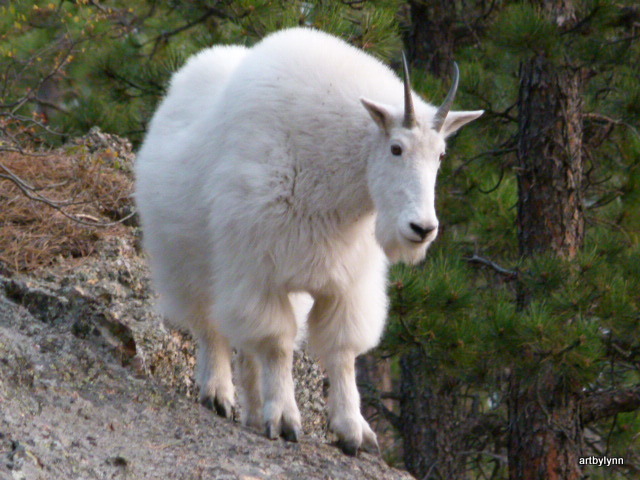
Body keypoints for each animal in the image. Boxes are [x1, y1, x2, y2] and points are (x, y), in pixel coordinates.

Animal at [135, 27, 483, 455]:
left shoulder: (346, 282)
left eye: (441, 155)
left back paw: (253, 412)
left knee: (245, 347)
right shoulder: (259, 271)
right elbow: (277, 343)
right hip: (185, 262)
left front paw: (354, 431)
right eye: (396, 148)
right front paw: (285, 419)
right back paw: (218, 394)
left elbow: (341, 351)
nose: (422, 229)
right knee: (209, 326)